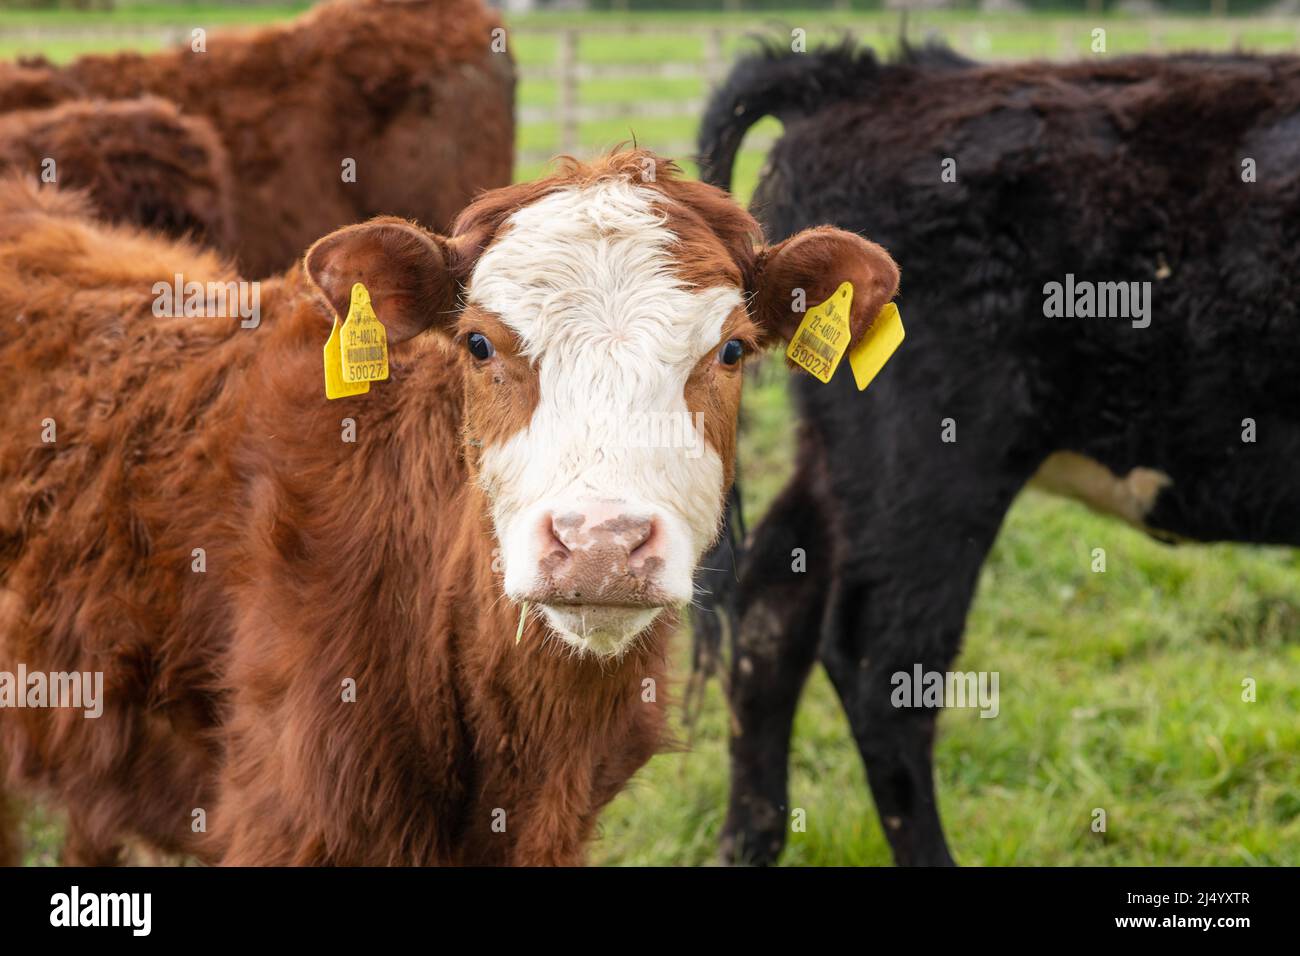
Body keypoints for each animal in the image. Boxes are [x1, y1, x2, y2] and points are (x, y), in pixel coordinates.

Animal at [694, 41, 1300, 866]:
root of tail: (882, 75)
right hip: (933, 464)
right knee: (880, 665)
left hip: (843, 459)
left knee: (771, 606)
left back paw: (748, 840)